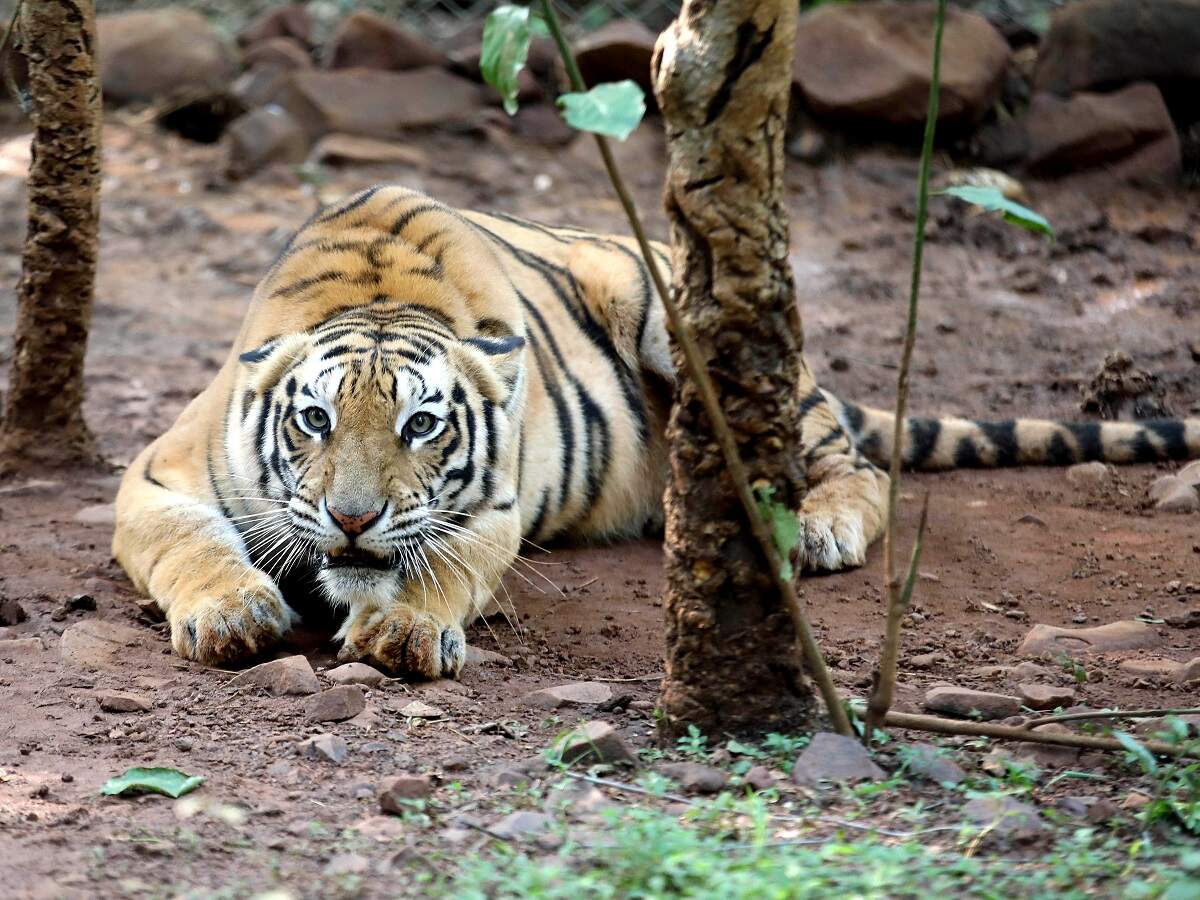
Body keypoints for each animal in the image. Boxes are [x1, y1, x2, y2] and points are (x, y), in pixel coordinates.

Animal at [112, 185, 1200, 679]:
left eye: (421, 425)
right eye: (315, 420)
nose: (349, 520)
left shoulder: (491, 504)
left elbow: (439, 564)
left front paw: (406, 629)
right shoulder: (156, 474)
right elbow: (189, 542)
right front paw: (230, 614)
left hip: (691, 326)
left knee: (849, 460)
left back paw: (818, 527)